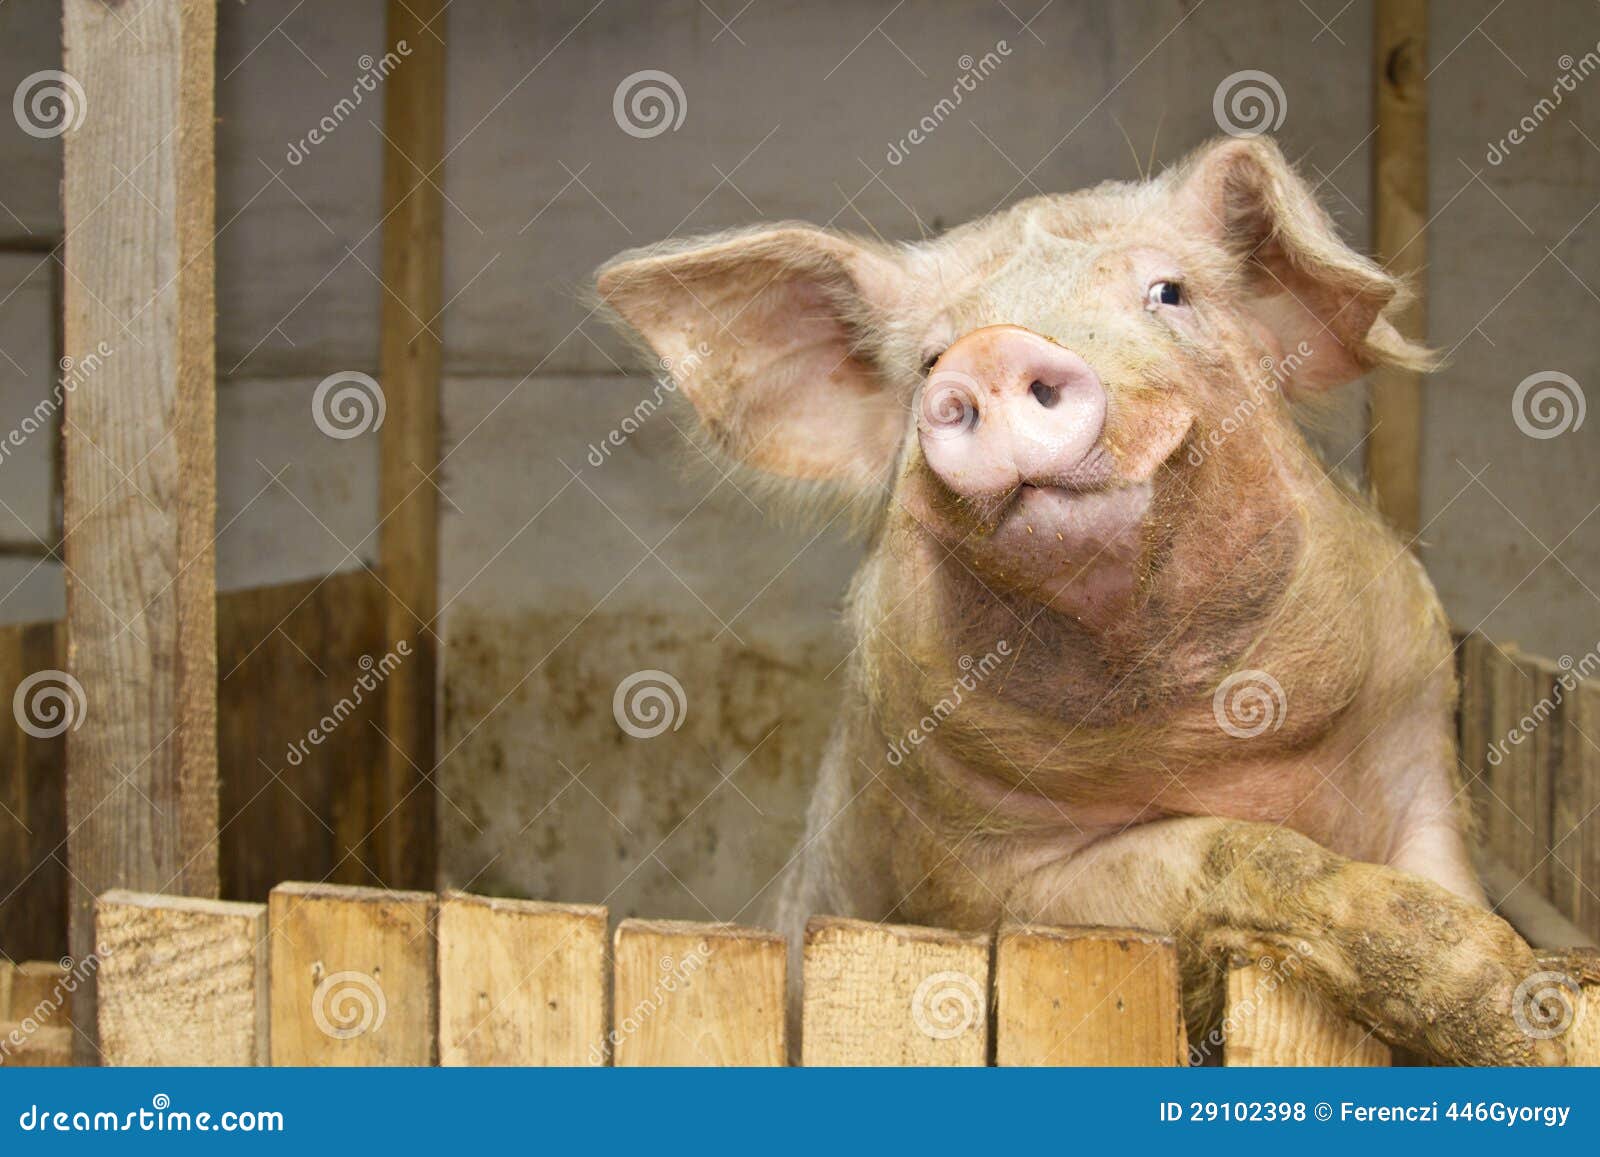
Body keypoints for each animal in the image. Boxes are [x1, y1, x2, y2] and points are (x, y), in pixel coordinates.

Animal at [596, 136, 1563, 1065]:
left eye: (1168, 293)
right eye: (928, 359)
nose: (992, 349)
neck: (1219, 742)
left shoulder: (1419, 739)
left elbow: (1442, 889)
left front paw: (1529, 1014)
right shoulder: (975, 877)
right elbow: (1235, 849)